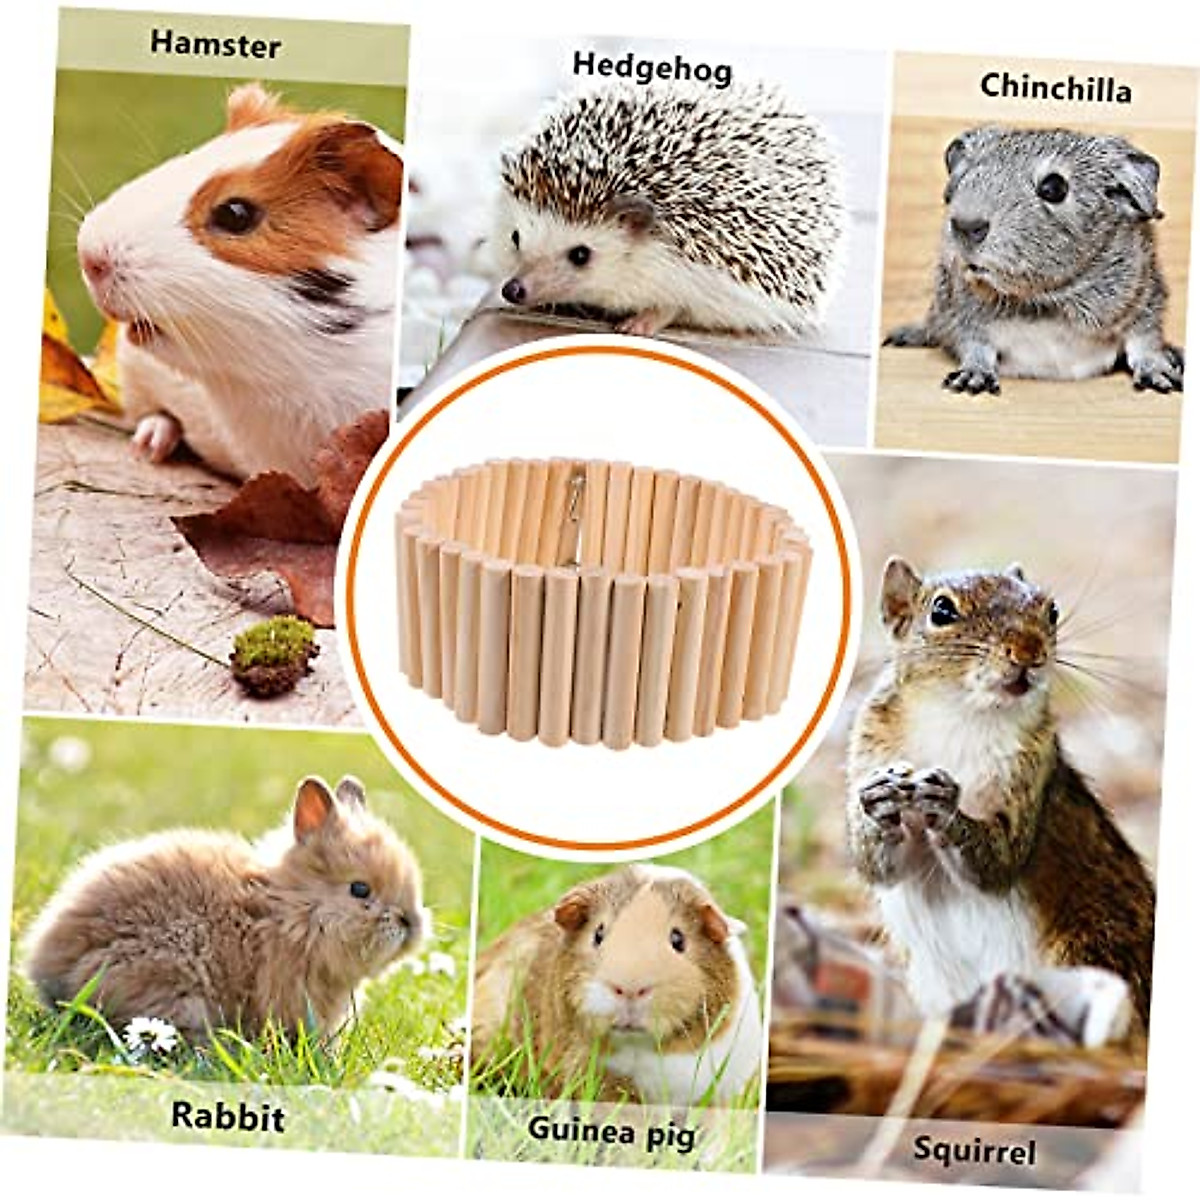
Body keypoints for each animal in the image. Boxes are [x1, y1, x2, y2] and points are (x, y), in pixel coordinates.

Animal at [886, 126, 1184, 395]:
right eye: (965, 176)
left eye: (1054, 187)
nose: (965, 226)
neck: (1042, 301)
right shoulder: (963, 314)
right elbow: (975, 347)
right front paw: (972, 379)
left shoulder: (1145, 301)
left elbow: (1145, 343)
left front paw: (1160, 376)